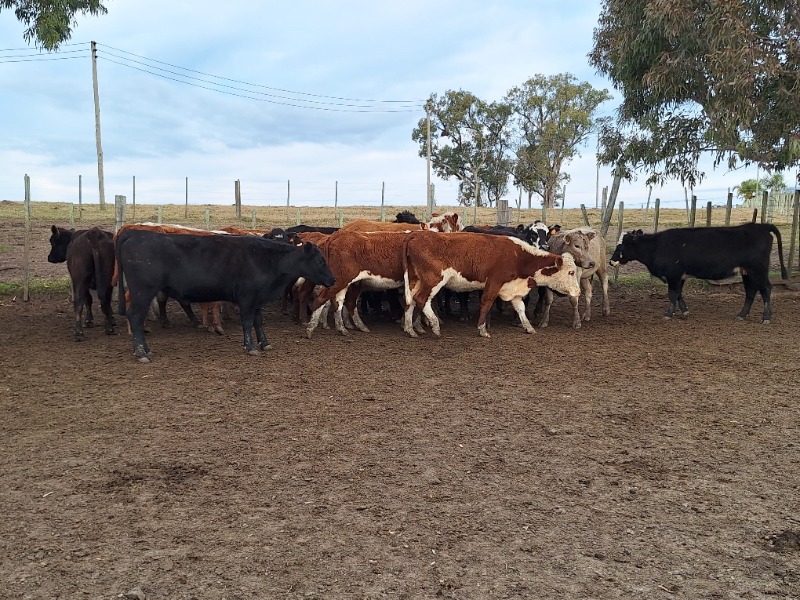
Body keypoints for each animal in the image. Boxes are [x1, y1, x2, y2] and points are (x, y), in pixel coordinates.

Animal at [115, 229, 335, 361]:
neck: (268, 260)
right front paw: (250, 346)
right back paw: (141, 352)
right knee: (135, 316)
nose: (333, 280)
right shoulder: (247, 298)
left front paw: (264, 343)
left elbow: (258, 322)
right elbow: (247, 322)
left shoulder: (257, 299)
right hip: (143, 291)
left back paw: (144, 349)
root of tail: (134, 233)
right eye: (320, 261)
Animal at [402, 232, 581, 338]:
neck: (520, 258)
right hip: (433, 280)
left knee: (410, 302)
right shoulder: (494, 282)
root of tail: (417, 236)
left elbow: (521, 308)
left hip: (415, 280)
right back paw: (435, 325)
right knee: (421, 299)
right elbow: (487, 303)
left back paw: (410, 328)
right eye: (571, 273)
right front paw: (482, 329)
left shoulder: (513, 288)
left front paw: (528, 327)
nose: (578, 292)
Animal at [610, 223, 788, 323]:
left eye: (621, 245)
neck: (657, 246)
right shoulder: (679, 276)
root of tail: (761, 225)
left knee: (765, 290)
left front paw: (669, 314)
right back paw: (742, 315)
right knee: (751, 291)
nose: (611, 261)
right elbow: (679, 294)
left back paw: (766, 317)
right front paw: (684, 311)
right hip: (747, 272)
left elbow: (672, 294)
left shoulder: (673, 275)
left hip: (758, 270)